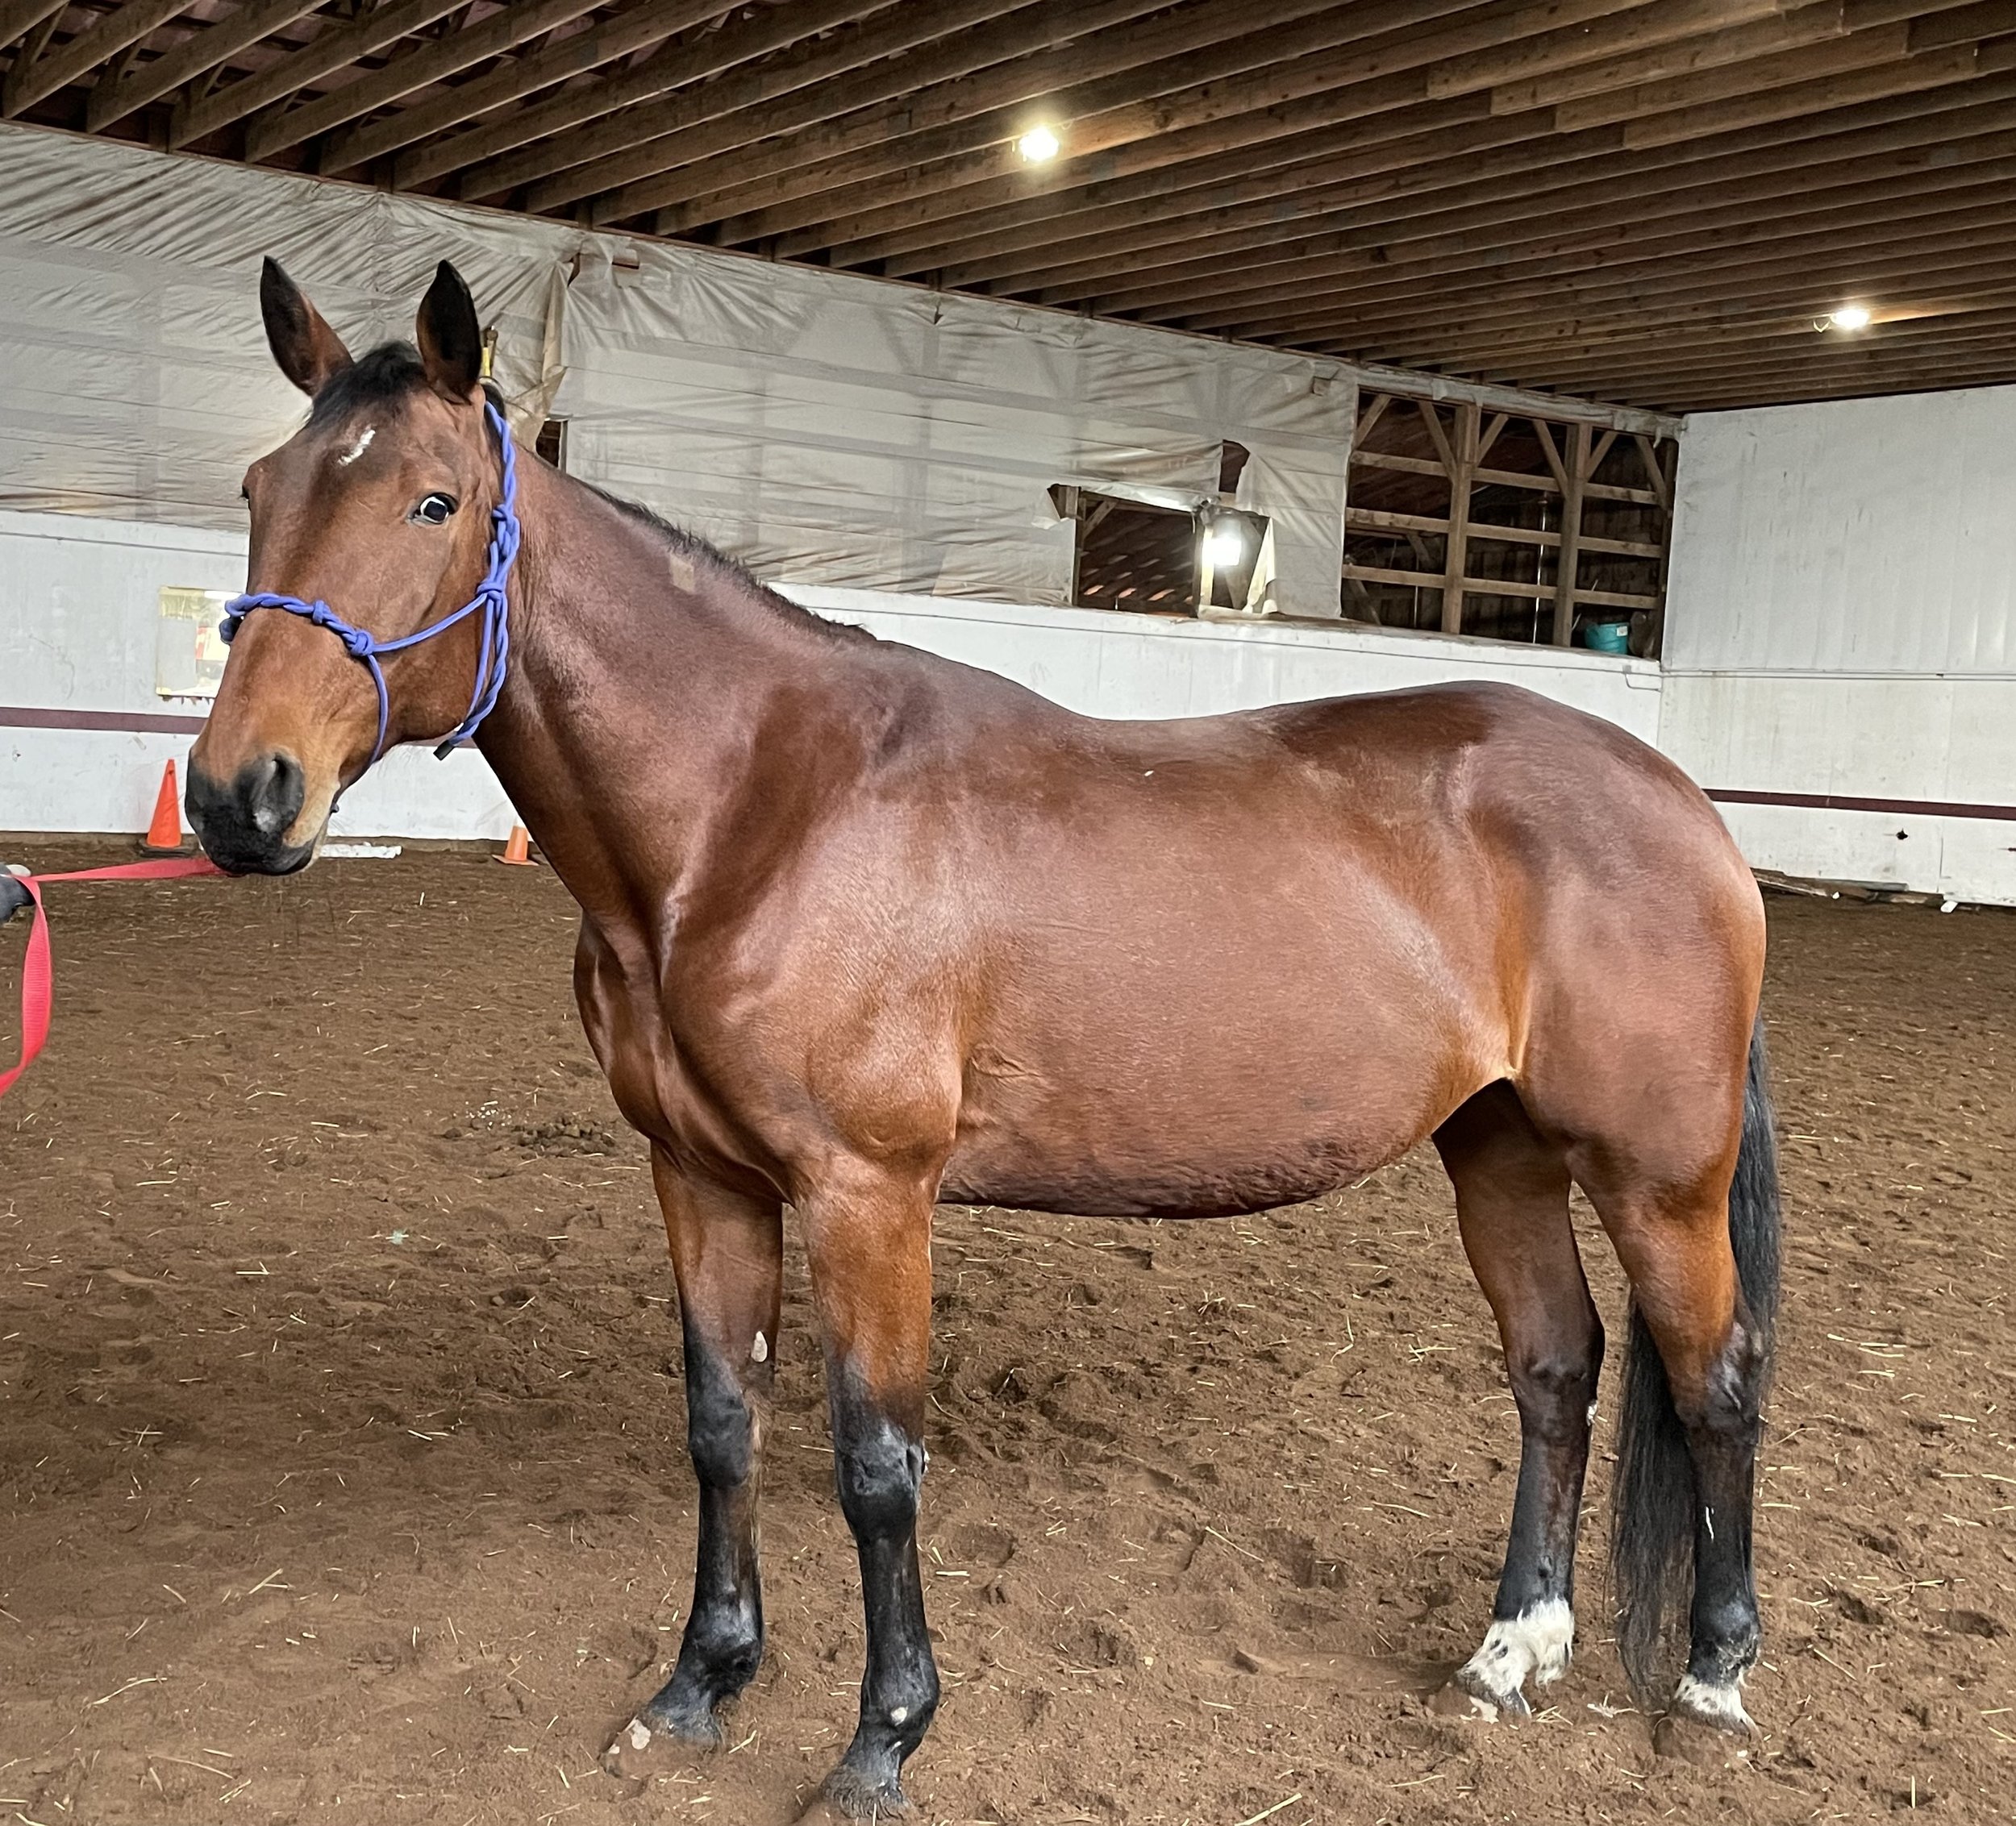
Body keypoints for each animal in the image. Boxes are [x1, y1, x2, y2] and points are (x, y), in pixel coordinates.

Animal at [185, 258, 1780, 1817]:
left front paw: (882, 1740)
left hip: (1658, 1179)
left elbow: (877, 1465)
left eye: (432, 502)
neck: (758, 811)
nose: (238, 797)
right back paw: (1512, 1651)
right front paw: (701, 1685)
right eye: (260, 487)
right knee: (1557, 1368)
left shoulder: (870, 1197)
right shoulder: (701, 1182)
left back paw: (1712, 1679)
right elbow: (722, 1428)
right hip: (1496, 1146)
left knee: (1715, 1380)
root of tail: (1680, 802)